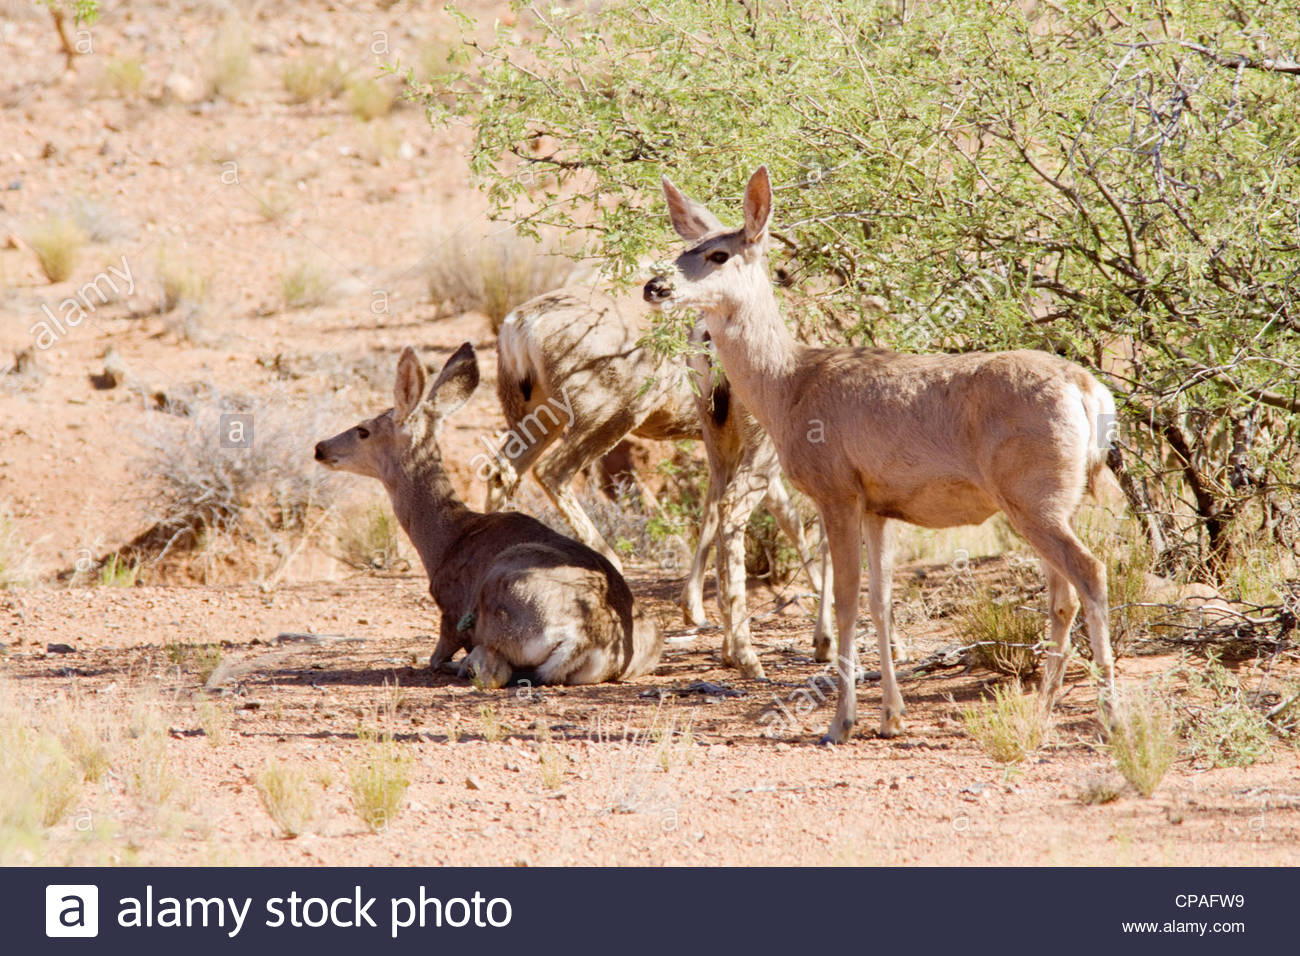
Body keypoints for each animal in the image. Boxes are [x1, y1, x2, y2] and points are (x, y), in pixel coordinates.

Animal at [314, 342, 663, 688]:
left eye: (363, 430)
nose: (320, 448)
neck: (448, 537)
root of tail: (586, 641)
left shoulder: (450, 610)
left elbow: (436, 655)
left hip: (501, 595)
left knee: (492, 669)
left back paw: (465, 665)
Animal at [482, 284, 832, 677]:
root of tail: (518, 325)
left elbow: (723, 511)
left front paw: (694, 608)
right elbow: (792, 522)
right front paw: (823, 631)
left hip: (534, 411)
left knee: (502, 469)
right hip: (612, 408)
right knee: (552, 470)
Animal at [644, 165, 1118, 742]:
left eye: (718, 255)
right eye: (683, 248)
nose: (654, 286)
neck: (788, 385)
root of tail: (1088, 389)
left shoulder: (837, 490)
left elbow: (847, 600)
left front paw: (840, 721)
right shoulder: (879, 505)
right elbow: (882, 601)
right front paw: (892, 715)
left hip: (1032, 494)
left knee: (1091, 572)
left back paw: (1110, 717)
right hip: (1051, 498)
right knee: (1062, 593)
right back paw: (1042, 708)